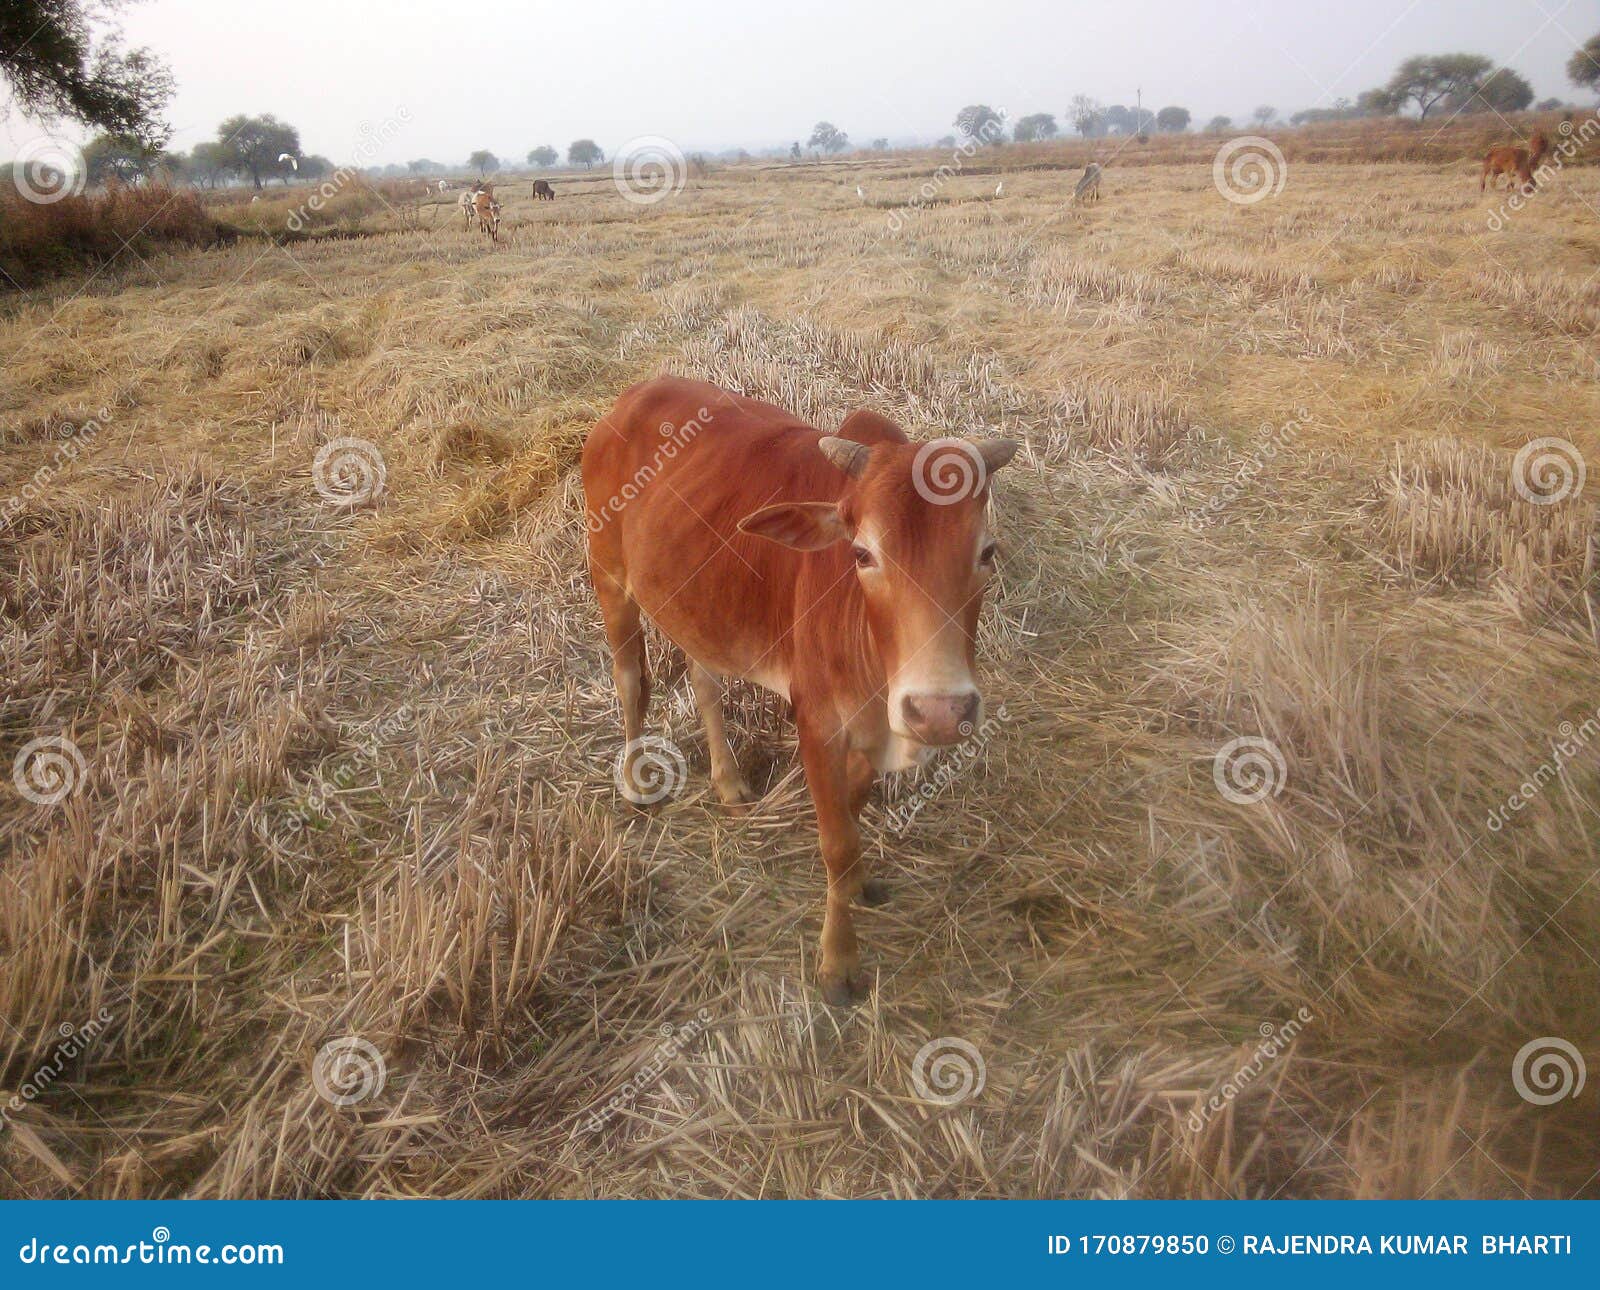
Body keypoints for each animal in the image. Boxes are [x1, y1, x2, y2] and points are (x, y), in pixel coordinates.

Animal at [581, 377, 1018, 1004]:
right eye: (861, 553)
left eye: (987, 552)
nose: (938, 711)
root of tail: (633, 395)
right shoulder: (817, 724)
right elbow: (837, 842)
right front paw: (838, 964)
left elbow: (852, 822)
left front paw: (859, 886)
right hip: (609, 576)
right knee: (630, 681)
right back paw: (639, 781)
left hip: (694, 605)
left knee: (704, 681)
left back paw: (730, 784)